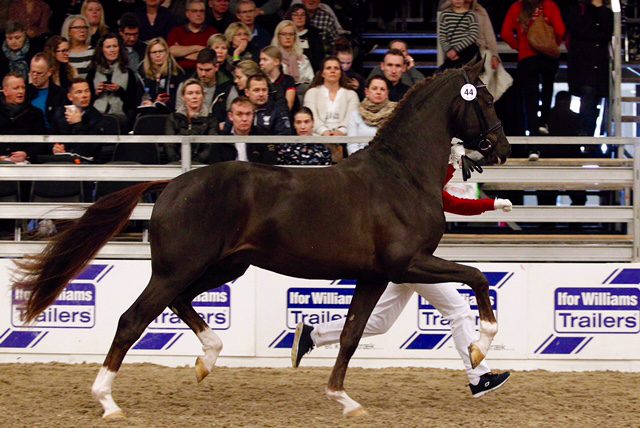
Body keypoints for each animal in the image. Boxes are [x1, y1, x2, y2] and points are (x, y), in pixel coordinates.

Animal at [12, 57, 510, 419]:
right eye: (485, 98)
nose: (503, 149)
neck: (401, 176)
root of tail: (171, 185)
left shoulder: (375, 275)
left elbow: (351, 333)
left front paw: (343, 399)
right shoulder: (407, 262)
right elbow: (476, 278)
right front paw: (481, 346)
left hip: (220, 267)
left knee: (178, 304)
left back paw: (207, 359)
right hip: (180, 268)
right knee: (132, 320)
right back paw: (108, 401)